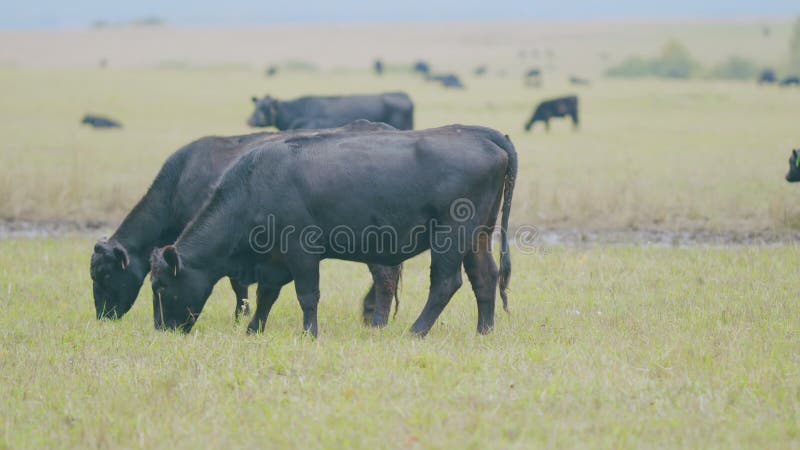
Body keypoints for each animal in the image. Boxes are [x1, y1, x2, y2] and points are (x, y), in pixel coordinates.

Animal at [91, 123, 401, 326]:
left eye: (105, 274)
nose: (103, 316)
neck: (181, 181)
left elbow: (238, 286)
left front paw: (240, 316)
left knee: (385, 278)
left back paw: (376, 320)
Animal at [149, 124, 517, 338]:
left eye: (161, 286)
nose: (162, 329)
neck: (255, 185)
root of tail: (483, 135)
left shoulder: (301, 251)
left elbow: (307, 295)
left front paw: (309, 333)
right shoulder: (274, 260)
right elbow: (266, 294)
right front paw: (254, 329)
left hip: (451, 237)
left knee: (446, 283)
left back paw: (415, 331)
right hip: (479, 236)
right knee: (485, 278)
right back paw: (484, 332)